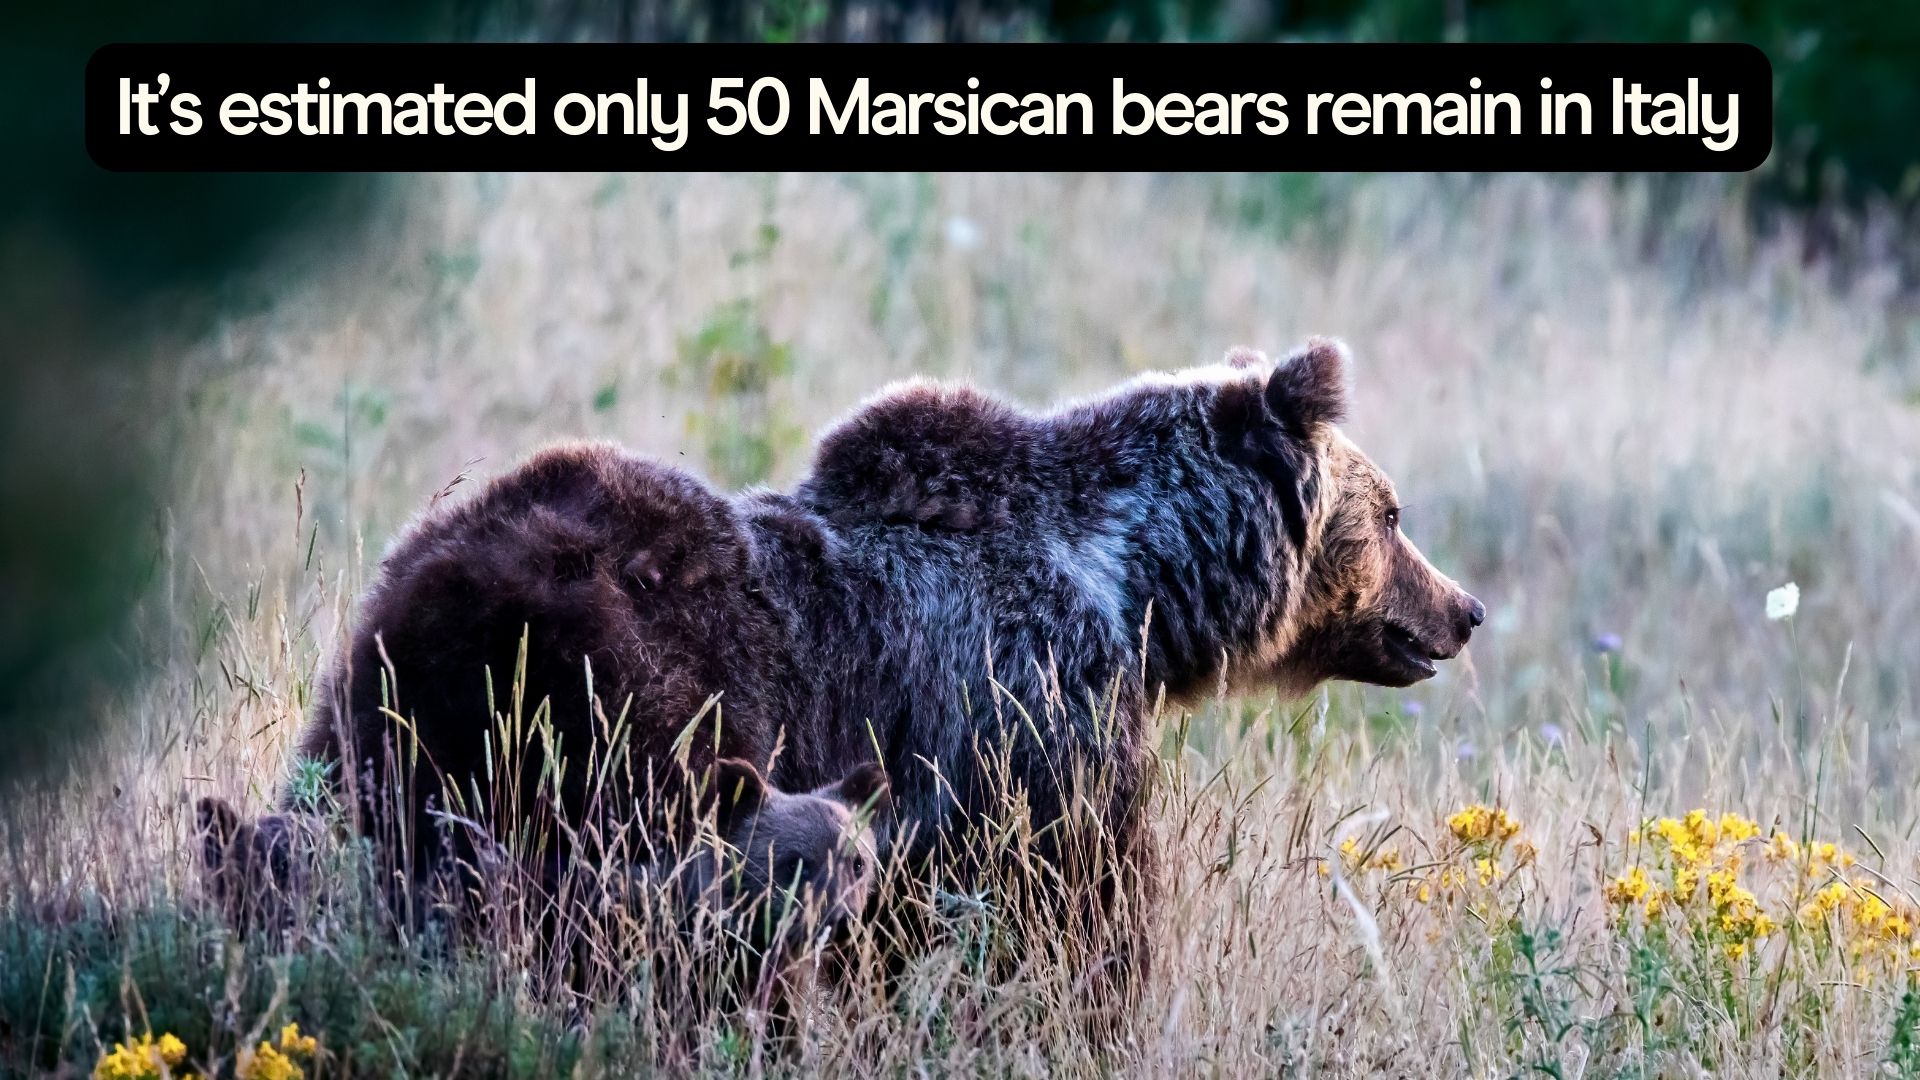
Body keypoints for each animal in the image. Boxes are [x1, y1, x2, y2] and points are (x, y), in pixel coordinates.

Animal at [294, 337, 1480, 988]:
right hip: (628, 712)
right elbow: (1073, 908)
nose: (1463, 610)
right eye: (1392, 513)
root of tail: (454, 582)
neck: (1137, 581)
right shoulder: (1032, 711)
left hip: (390, 704)